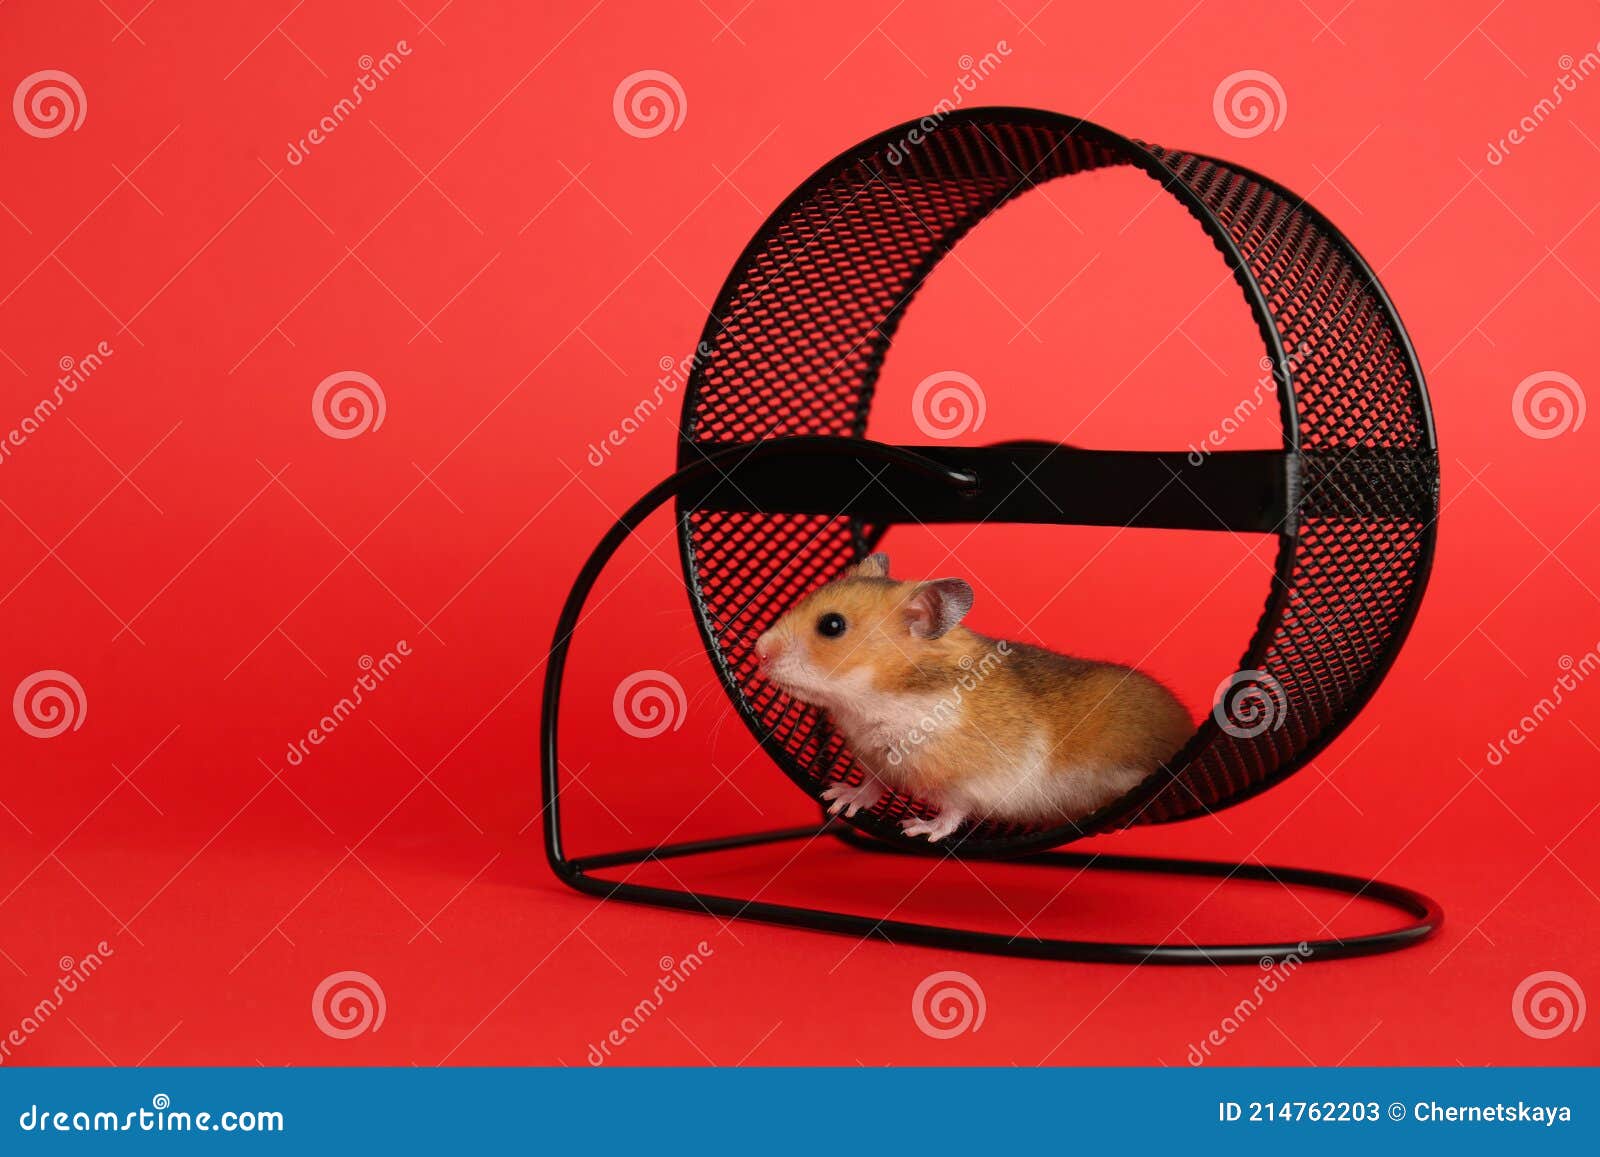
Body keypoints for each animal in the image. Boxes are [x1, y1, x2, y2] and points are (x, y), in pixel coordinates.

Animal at [753, 553, 1192, 843]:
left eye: (832, 625)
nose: (758, 651)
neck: (876, 698)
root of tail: (1185, 726)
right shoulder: (877, 760)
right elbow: (872, 786)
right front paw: (838, 797)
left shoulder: (972, 780)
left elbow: (953, 810)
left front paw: (919, 829)